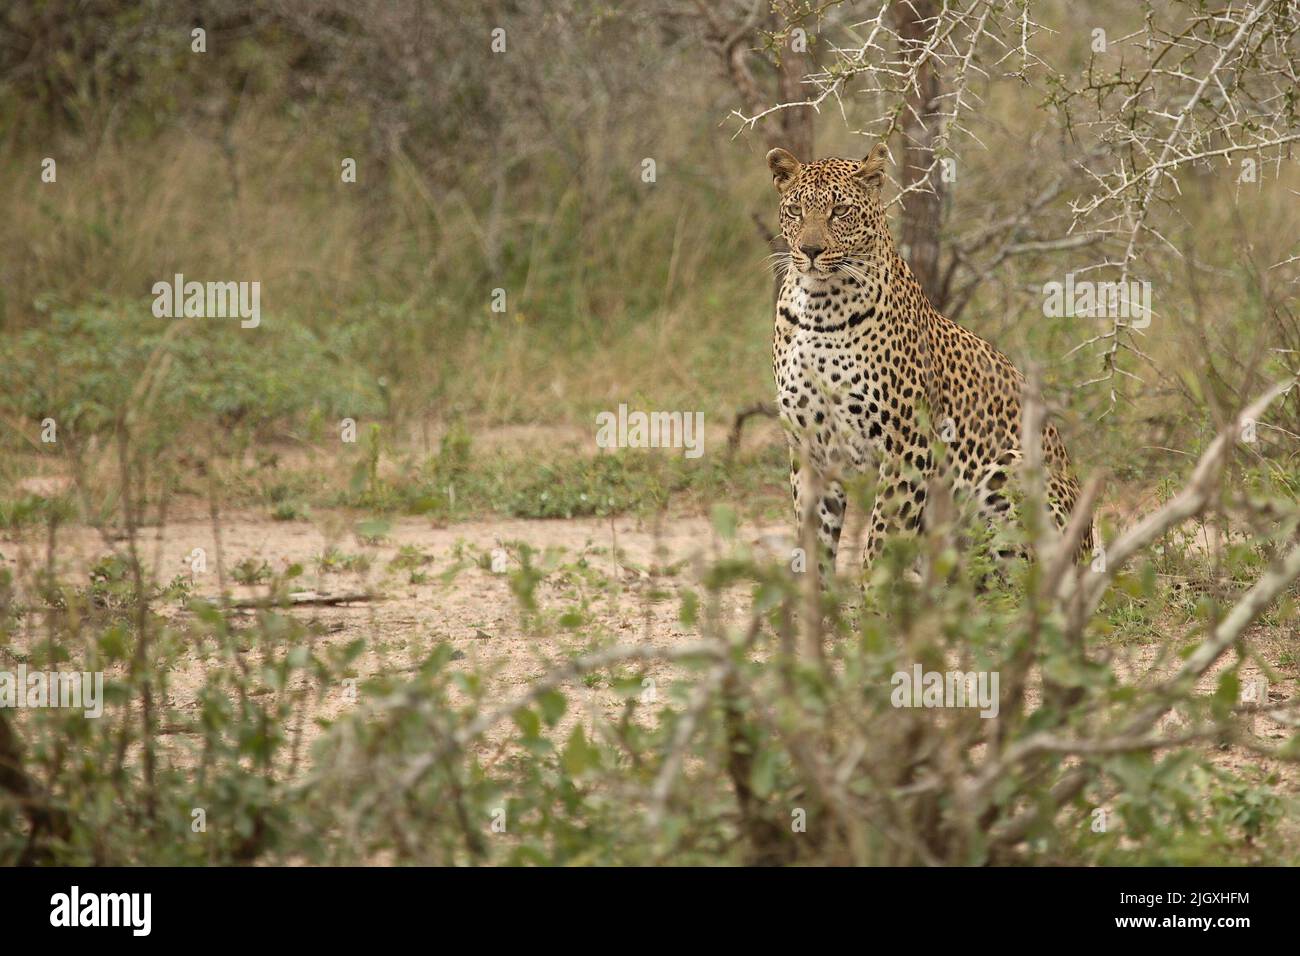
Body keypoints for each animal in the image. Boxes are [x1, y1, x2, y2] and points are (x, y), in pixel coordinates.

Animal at [766, 142, 1092, 582]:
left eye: (840, 210)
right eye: (796, 210)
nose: (810, 251)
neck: (819, 307)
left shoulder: (907, 444)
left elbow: (882, 541)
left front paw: (872, 597)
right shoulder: (810, 447)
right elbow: (812, 539)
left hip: (1013, 468)